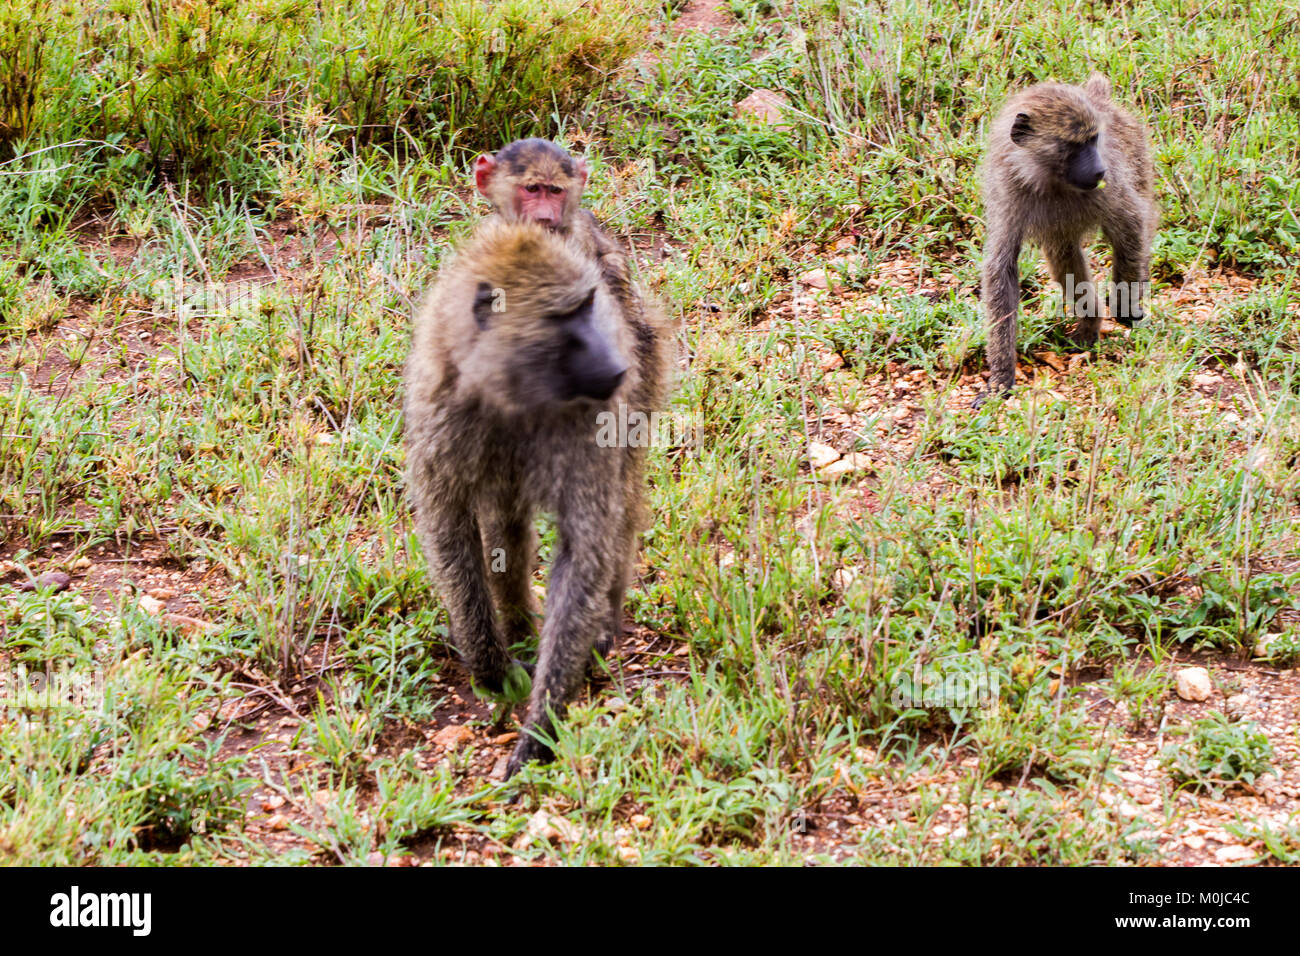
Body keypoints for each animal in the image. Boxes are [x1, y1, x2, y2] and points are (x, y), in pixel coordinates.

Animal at [404, 219, 669, 778]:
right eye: (563, 317)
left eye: (588, 306)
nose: (615, 367)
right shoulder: (442, 401)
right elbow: (450, 524)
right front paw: (494, 671)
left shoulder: (594, 419)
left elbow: (584, 551)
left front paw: (540, 727)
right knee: (507, 520)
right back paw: (520, 625)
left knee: (621, 507)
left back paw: (602, 630)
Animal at [977, 74, 1157, 405]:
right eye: (1075, 145)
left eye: (1093, 140)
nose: (1099, 169)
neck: (1049, 178)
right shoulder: (1007, 188)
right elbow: (1001, 268)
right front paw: (1000, 378)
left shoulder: (1111, 187)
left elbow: (1131, 224)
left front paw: (1124, 306)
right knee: (1063, 253)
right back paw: (1090, 324)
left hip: (1138, 155)